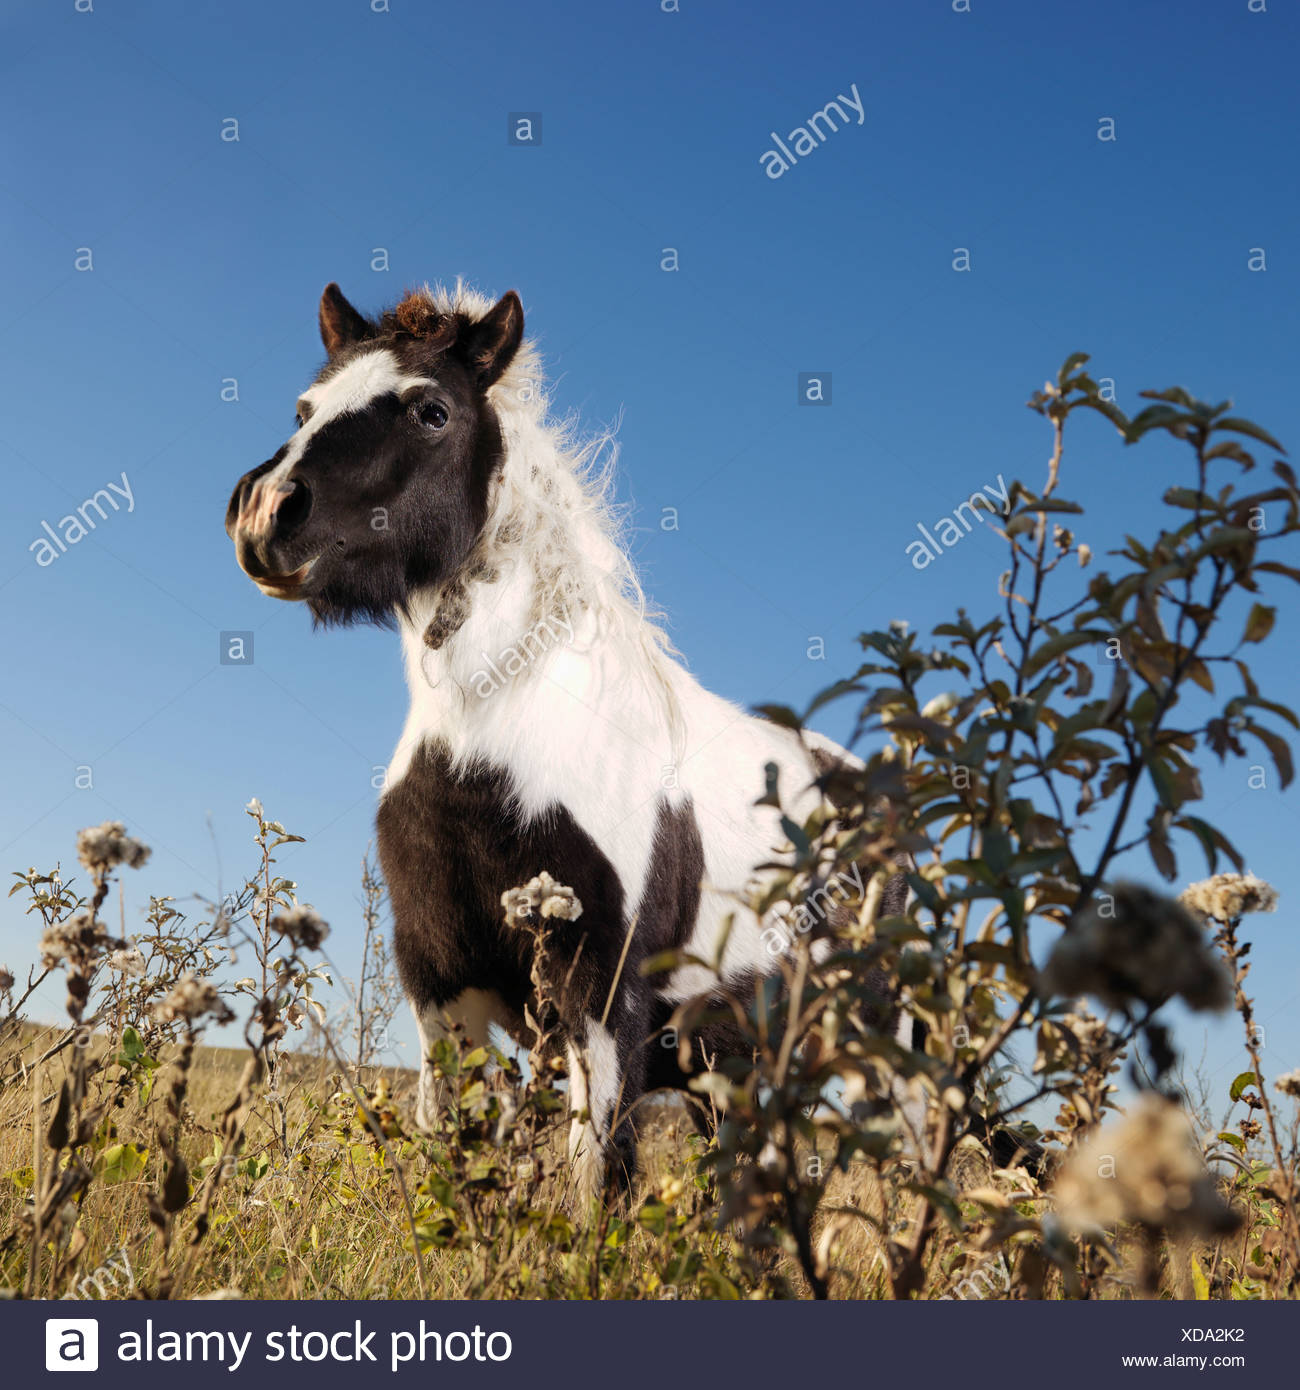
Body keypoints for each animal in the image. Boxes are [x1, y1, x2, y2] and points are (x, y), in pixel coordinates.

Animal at [225, 281, 894, 1201]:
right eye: (305, 406)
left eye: (432, 411)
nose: (266, 513)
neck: (499, 743)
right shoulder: (444, 997)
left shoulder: (603, 1011)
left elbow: (594, 1195)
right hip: (731, 1073)